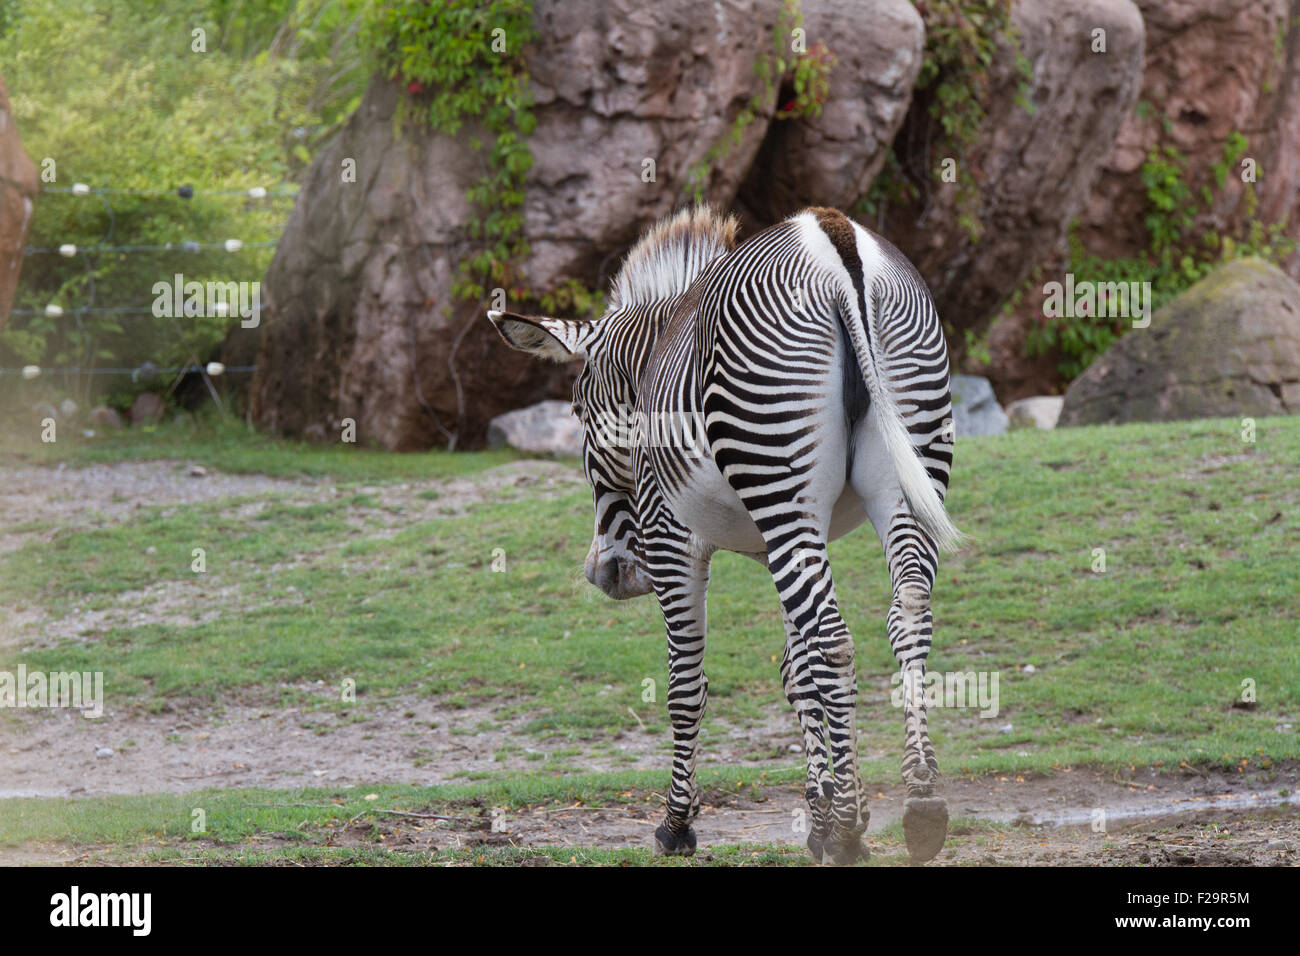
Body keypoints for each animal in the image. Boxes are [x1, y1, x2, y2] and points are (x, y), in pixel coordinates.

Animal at [488, 205, 961, 864]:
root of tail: (834, 239)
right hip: (900, 480)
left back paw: (852, 833)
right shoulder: (779, 543)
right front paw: (827, 817)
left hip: (781, 484)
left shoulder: (672, 538)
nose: (601, 573)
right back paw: (920, 804)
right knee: (907, 615)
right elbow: (797, 674)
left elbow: (686, 684)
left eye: (580, 412)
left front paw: (678, 824)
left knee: (836, 641)